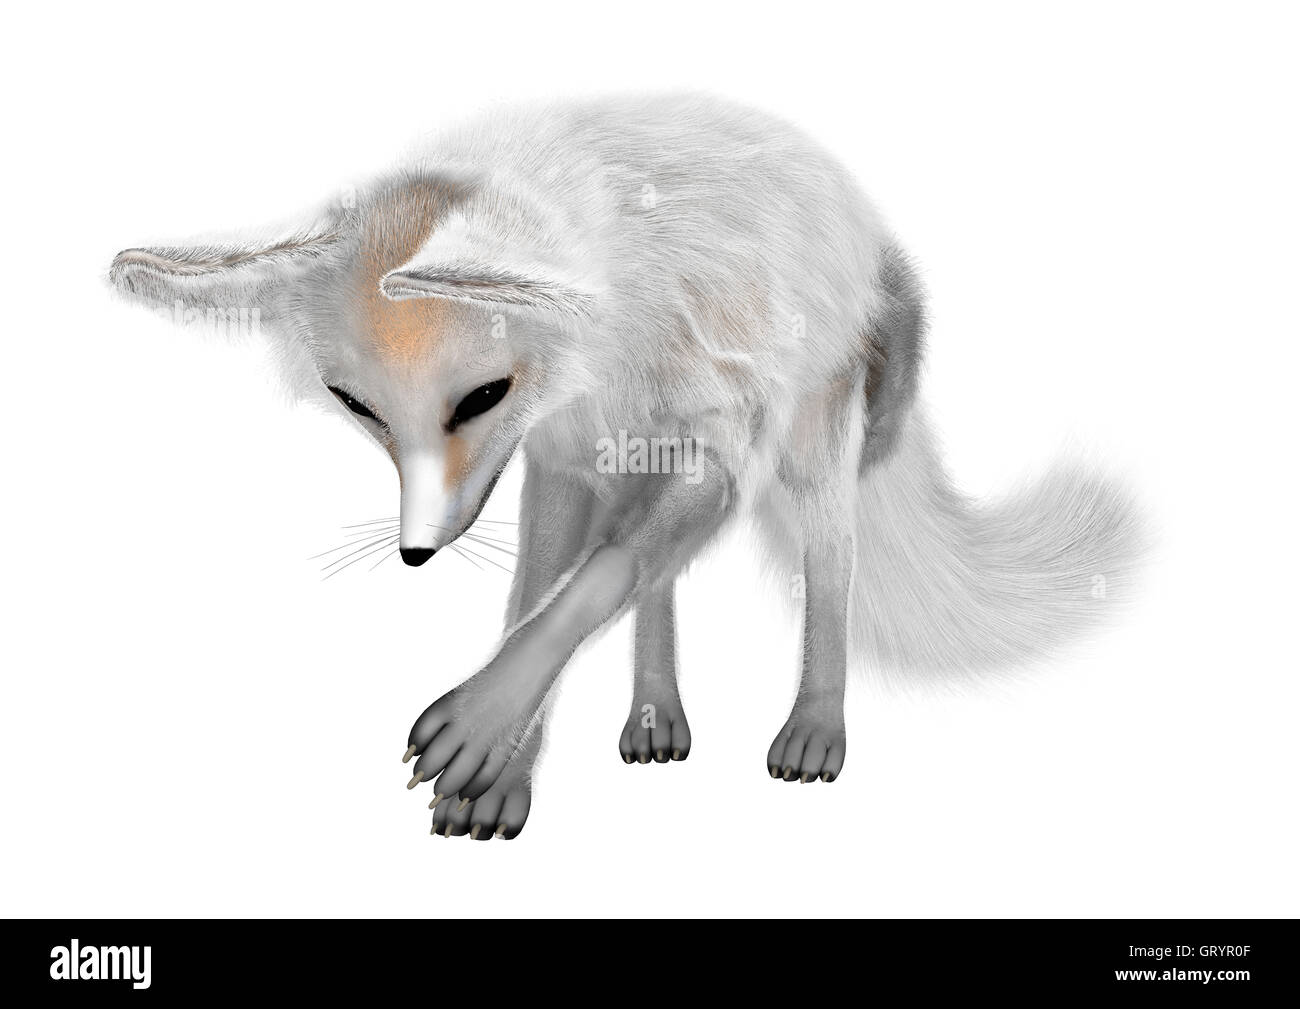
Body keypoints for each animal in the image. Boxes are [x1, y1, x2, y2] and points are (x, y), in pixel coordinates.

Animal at [108, 93, 1142, 840]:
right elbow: (544, 600)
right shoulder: (561, 467)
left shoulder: (715, 451)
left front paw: (480, 726)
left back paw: (815, 725)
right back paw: (654, 713)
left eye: (479, 398)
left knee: (821, 570)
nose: (415, 553)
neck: (606, 354)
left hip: (809, 452)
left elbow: (591, 585)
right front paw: (506, 770)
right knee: (655, 581)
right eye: (357, 407)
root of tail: (869, 226)